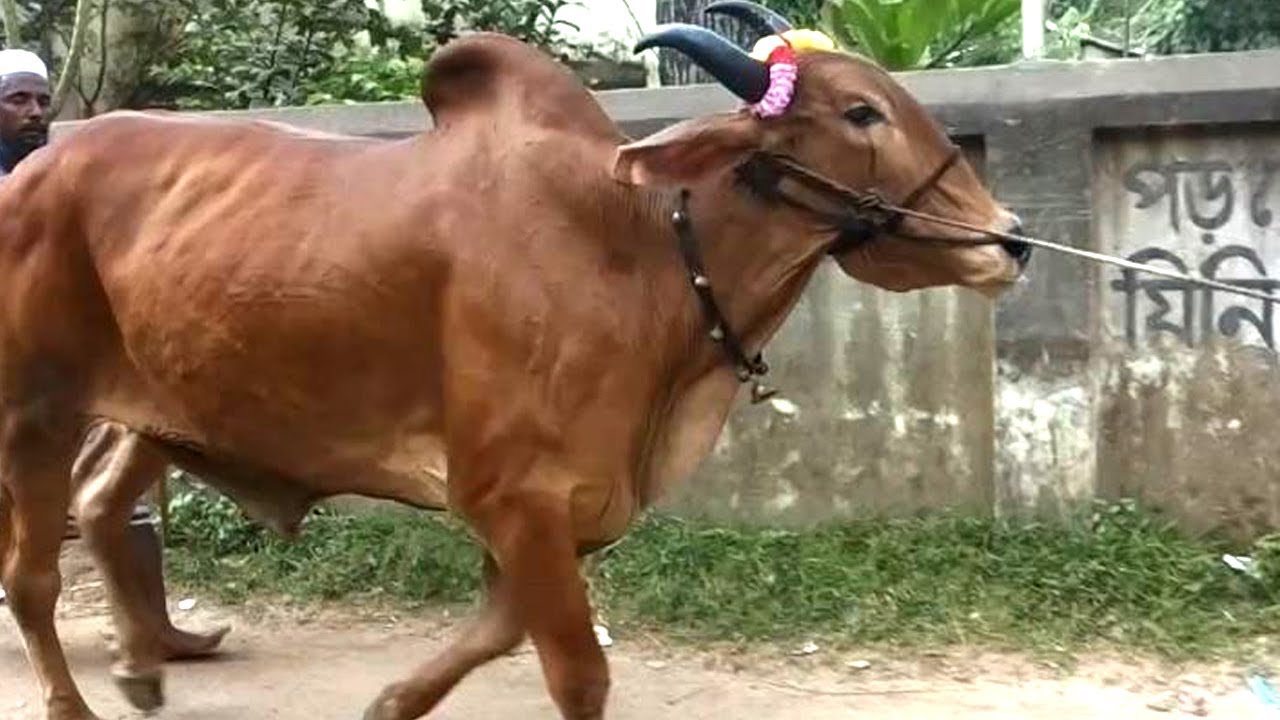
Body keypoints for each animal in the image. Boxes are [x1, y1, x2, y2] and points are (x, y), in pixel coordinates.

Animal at [0, 4, 1029, 719]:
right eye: (860, 111)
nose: (1011, 240)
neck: (643, 249)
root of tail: (37, 168)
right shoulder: (518, 497)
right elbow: (575, 671)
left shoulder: (568, 512)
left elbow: (494, 633)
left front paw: (388, 704)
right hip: (35, 409)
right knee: (31, 575)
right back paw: (78, 699)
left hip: (161, 404)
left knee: (103, 502)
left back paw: (144, 665)